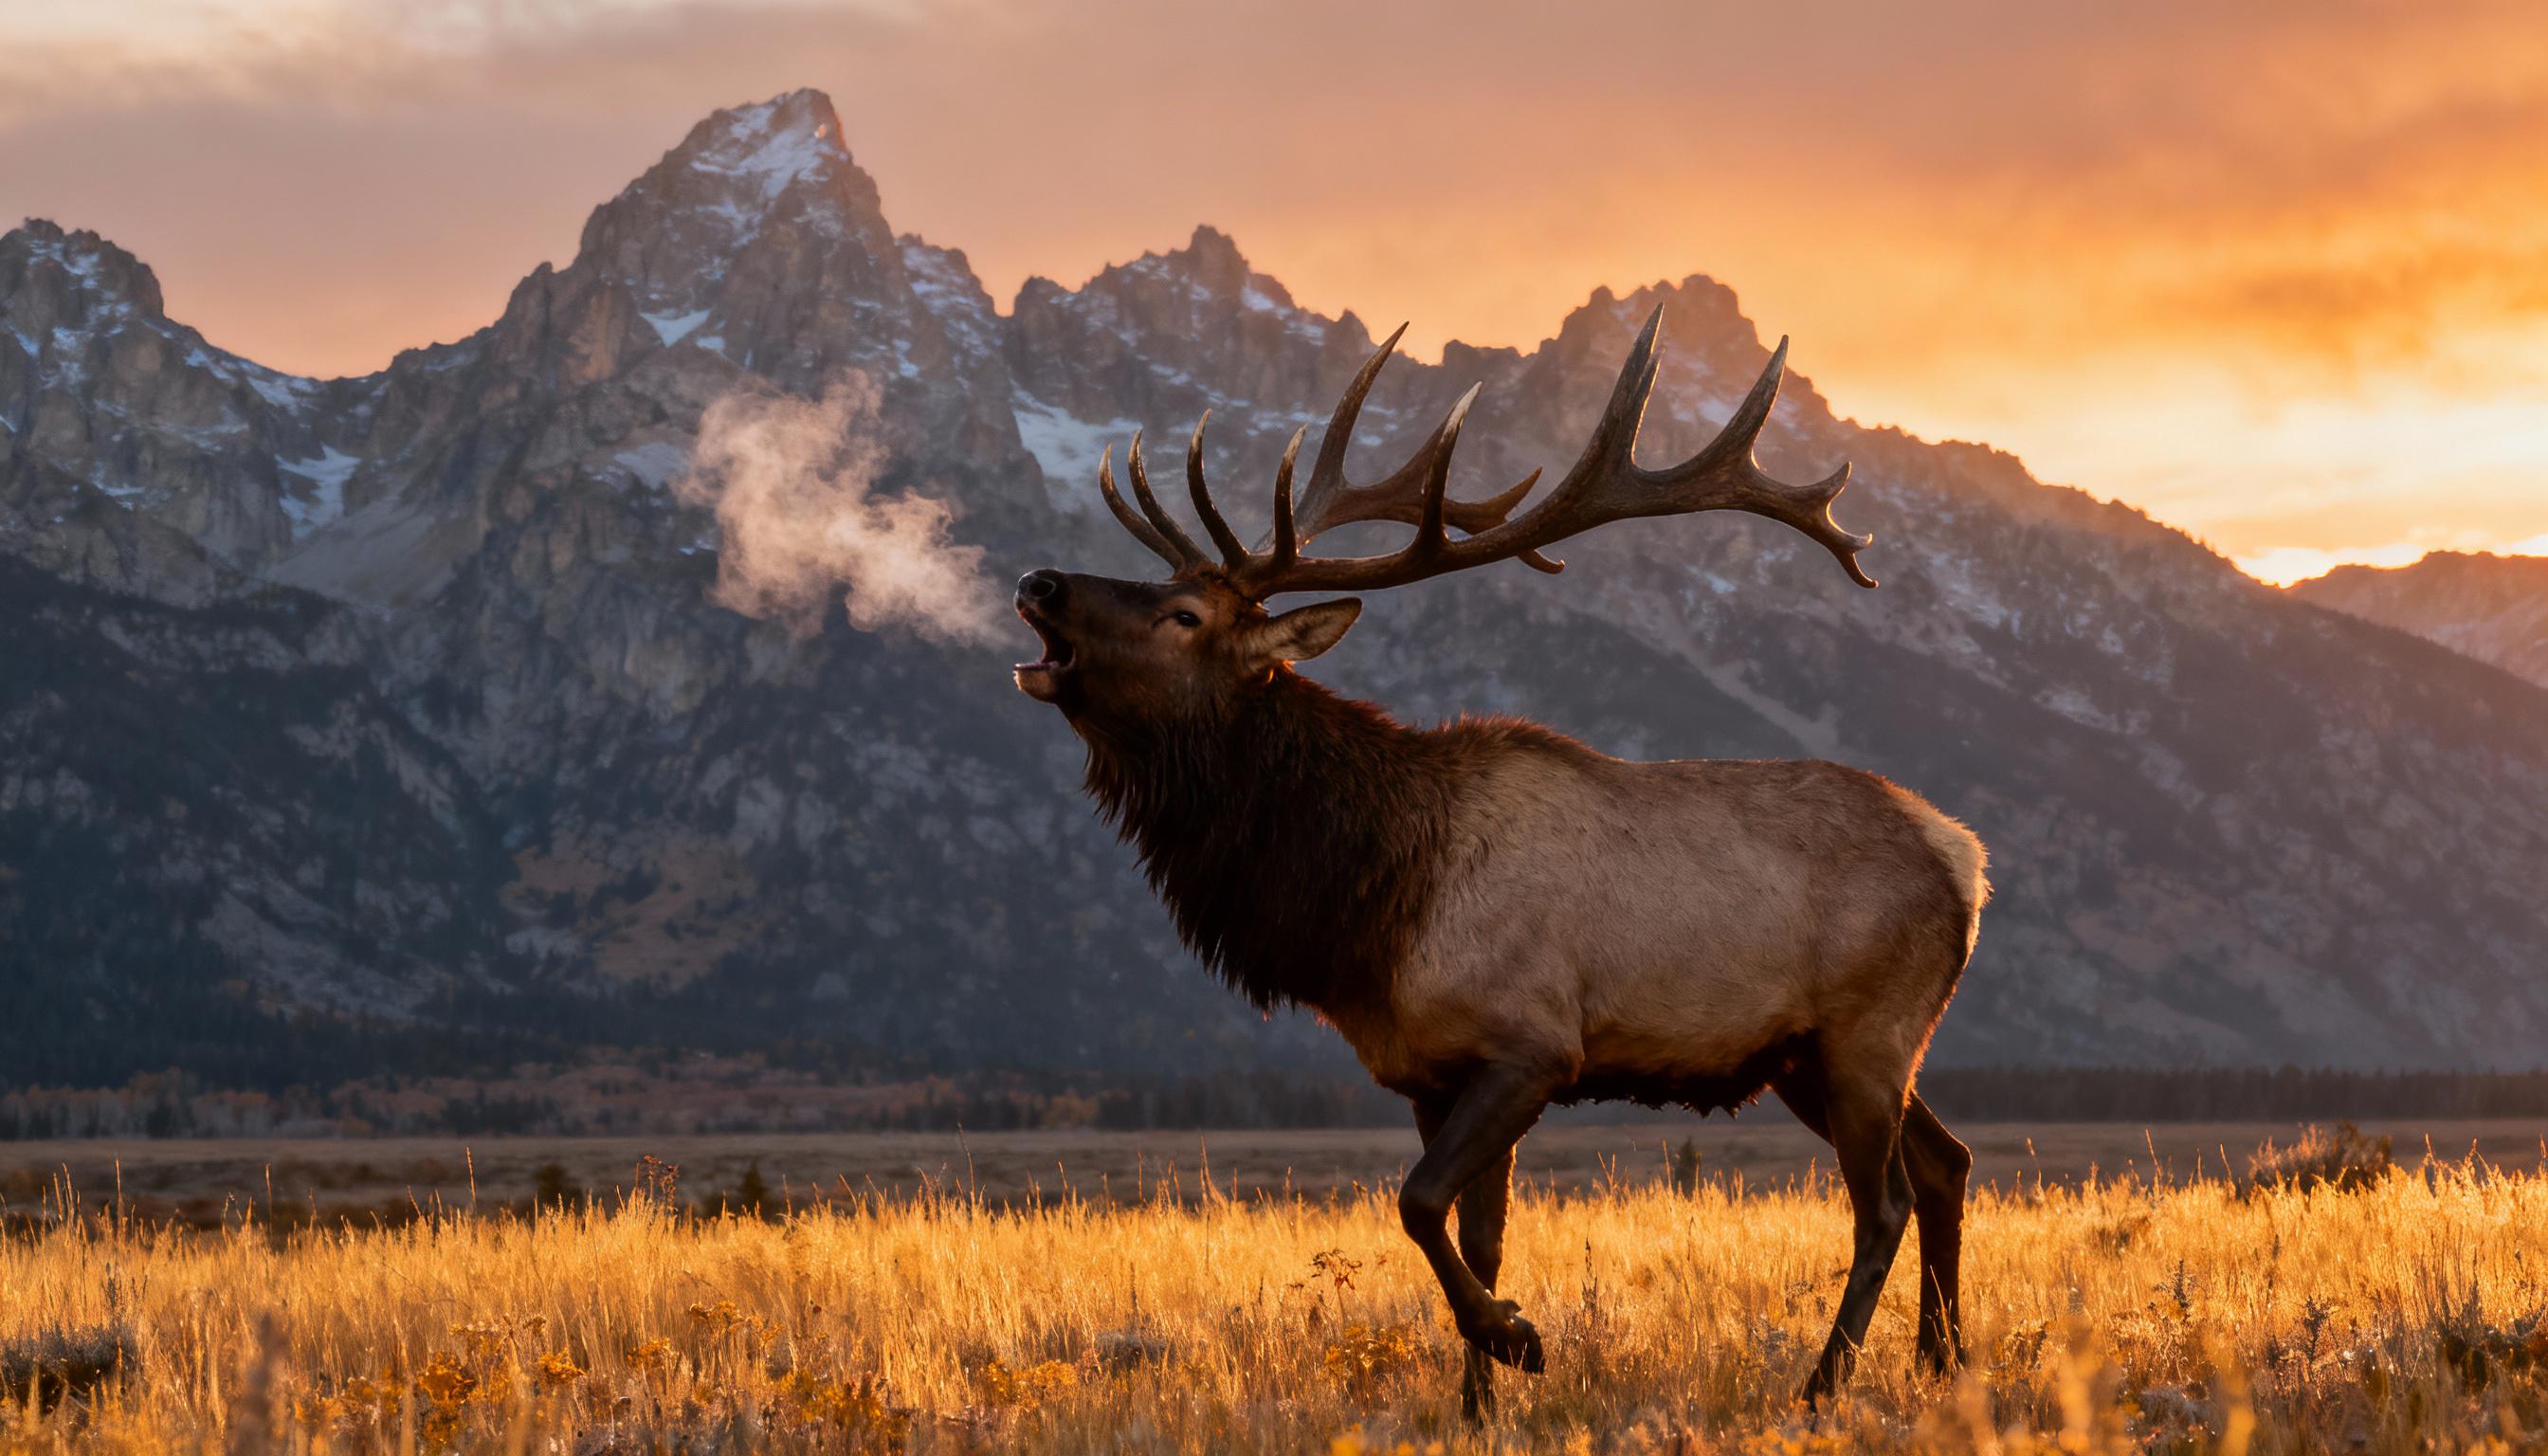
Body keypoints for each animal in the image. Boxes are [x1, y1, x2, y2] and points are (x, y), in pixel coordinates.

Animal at [1010, 305, 1988, 1418]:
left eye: (1185, 617)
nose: (1038, 581)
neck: (1368, 908)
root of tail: (1966, 857)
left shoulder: (1533, 1046)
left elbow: (1419, 1204)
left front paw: (1519, 1341)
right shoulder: (1430, 1073)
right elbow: (1473, 1234)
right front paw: (1478, 1403)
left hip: (1869, 1032)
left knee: (1886, 1202)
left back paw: (1825, 1385)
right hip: (1810, 1056)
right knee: (1948, 1164)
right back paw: (1943, 1359)